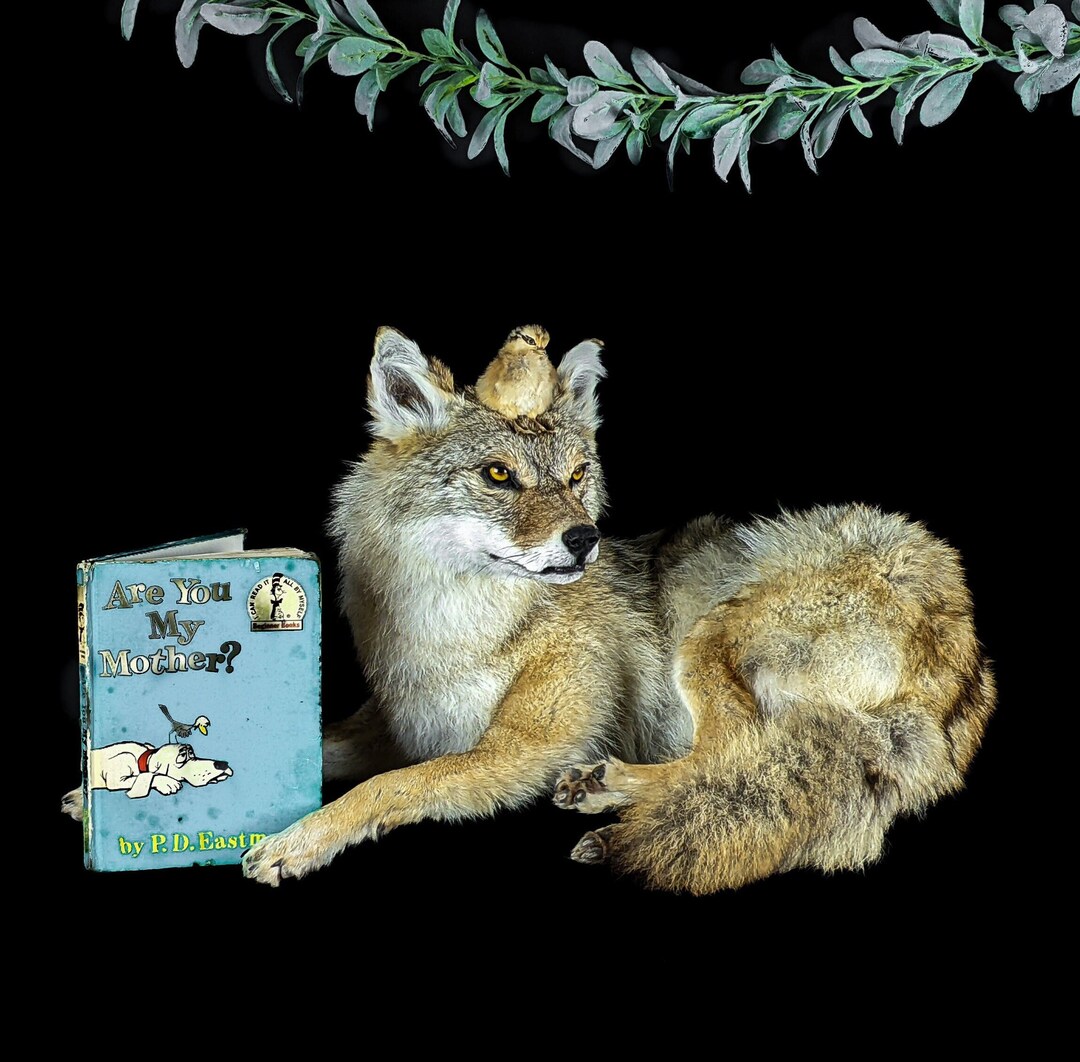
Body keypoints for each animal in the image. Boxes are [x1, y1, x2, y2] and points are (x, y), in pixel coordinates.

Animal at [241, 324, 995, 892]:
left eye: (577, 476)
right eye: (498, 475)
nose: (584, 539)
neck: (462, 633)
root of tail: (964, 654)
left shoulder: (515, 752)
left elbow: (388, 788)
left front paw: (292, 842)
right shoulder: (396, 728)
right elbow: (324, 751)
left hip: (703, 637)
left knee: (728, 756)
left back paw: (609, 799)